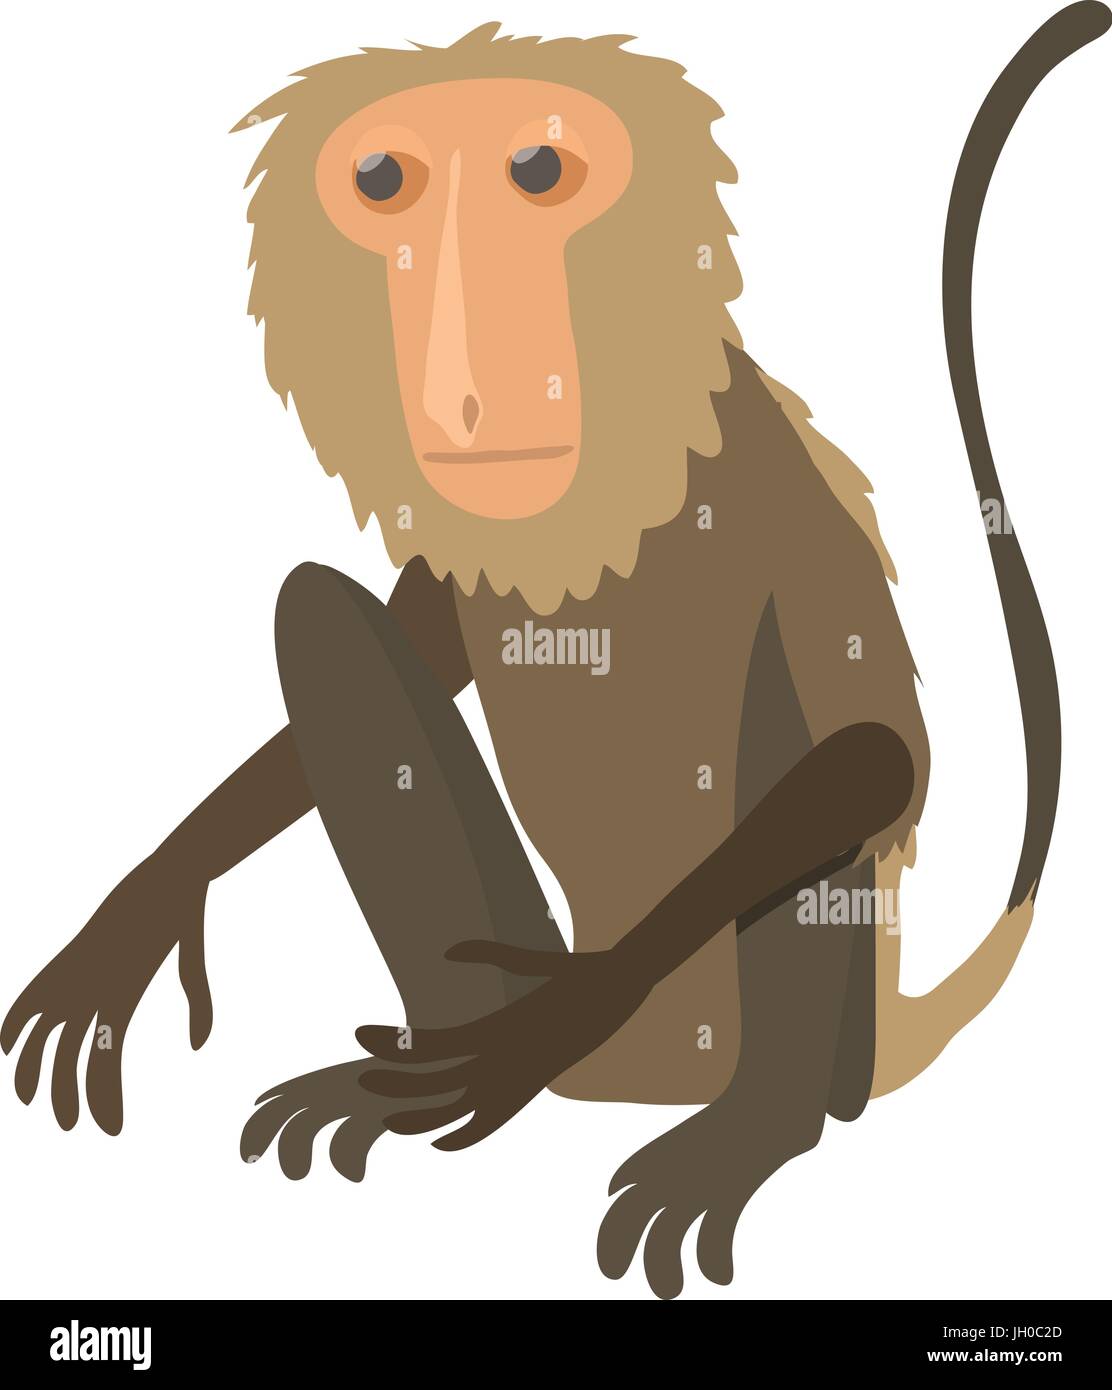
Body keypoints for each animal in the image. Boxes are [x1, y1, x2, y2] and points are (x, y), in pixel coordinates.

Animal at [2, 8, 1106, 1300]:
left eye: (538, 169)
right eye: (381, 181)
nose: (470, 397)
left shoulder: (757, 464)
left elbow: (873, 751)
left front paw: (567, 1010)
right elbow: (394, 644)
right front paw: (137, 905)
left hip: (763, 1036)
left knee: (807, 759)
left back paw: (748, 1122)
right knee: (316, 614)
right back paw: (406, 1082)